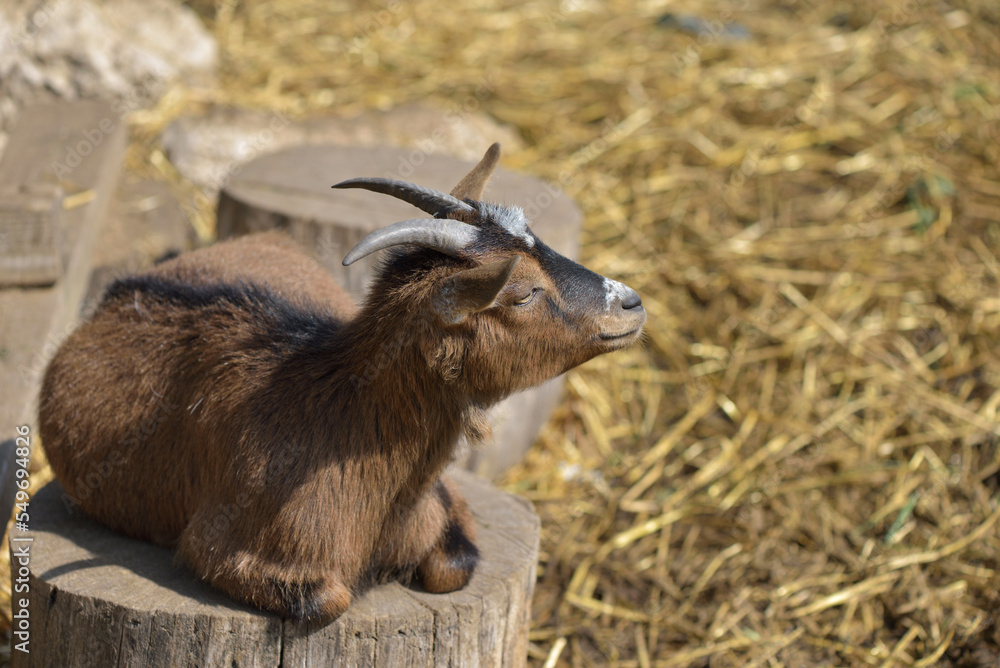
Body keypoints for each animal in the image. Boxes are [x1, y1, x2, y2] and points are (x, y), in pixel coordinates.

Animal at [39, 143, 646, 622]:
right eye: (521, 293)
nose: (631, 302)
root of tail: (120, 290)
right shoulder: (214, 543)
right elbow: (328, 601)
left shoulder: (444, 506)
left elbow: (455, 565)